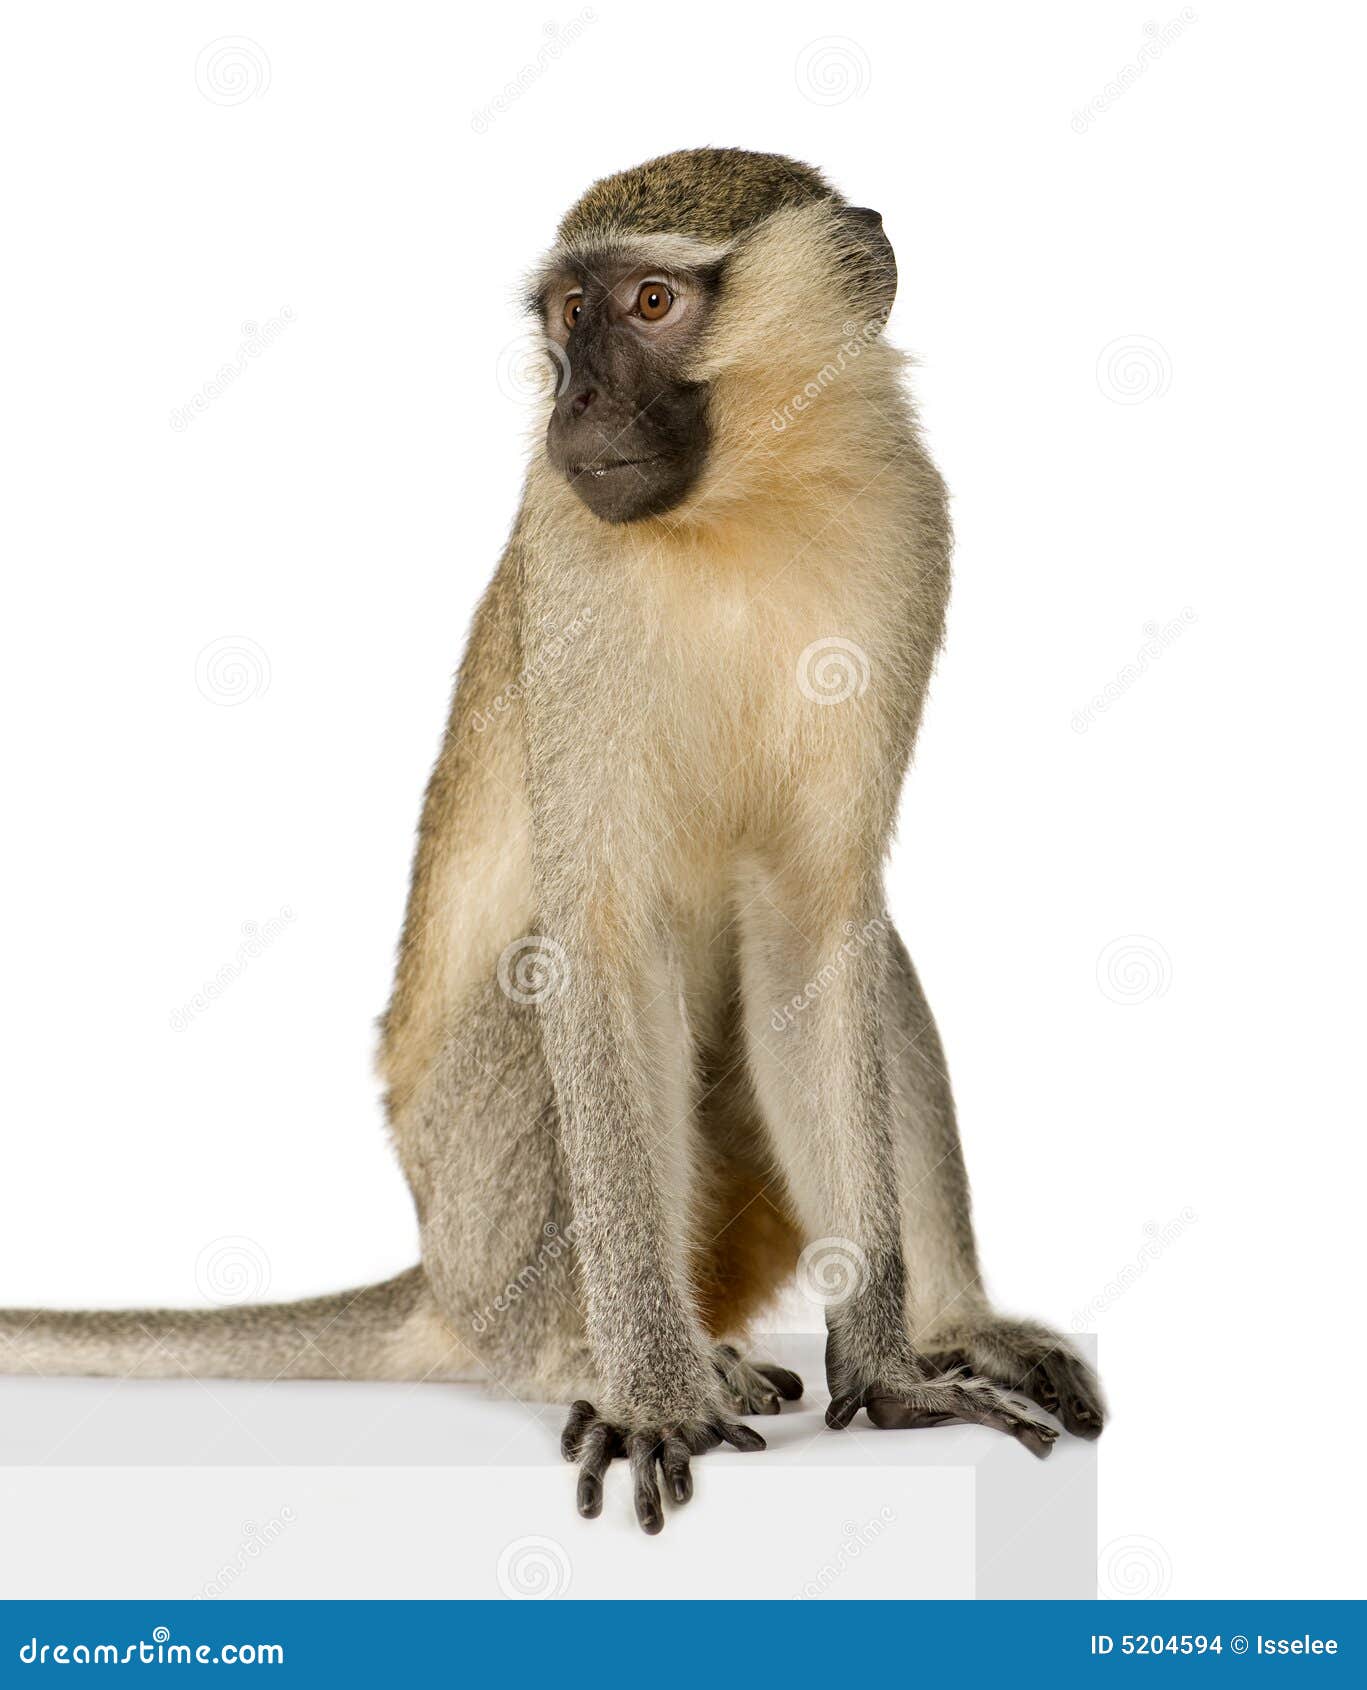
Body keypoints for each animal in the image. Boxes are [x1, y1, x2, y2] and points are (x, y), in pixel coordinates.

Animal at [1, 148, 1103, 1535]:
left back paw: (948, 1321)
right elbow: (598, 940)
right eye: (569, 314)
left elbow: (815, 929)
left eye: (648, 303)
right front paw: (650, 1400)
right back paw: (584, 1353)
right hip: (480, 1212)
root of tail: (439, 1278)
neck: (746, 503)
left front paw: (891, 1368)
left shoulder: (908, 528)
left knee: (867, 952)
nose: (573, 399)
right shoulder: (572, 558)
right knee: (547, 984)